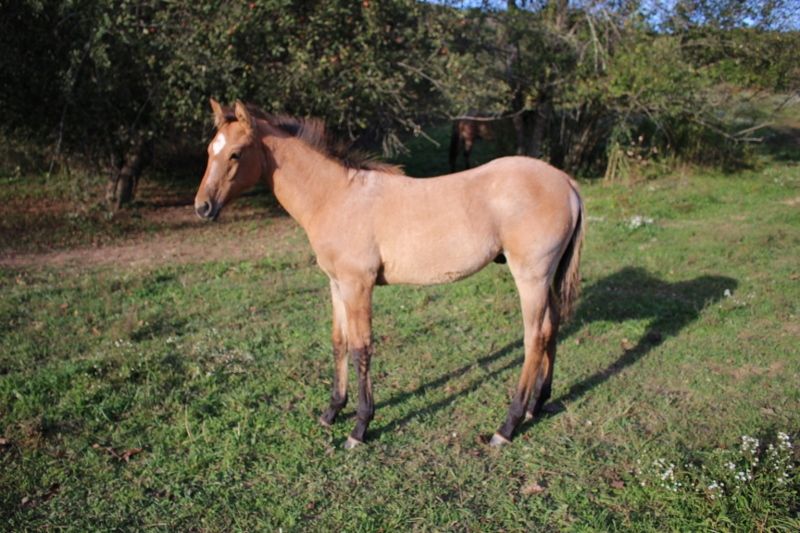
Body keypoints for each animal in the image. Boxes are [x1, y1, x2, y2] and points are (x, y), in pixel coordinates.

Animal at [195, 99, 585, 449]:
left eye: (236, 154)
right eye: (210, 151)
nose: (202, 207)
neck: (336, 196)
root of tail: (566, 181)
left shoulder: (358, 285)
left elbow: (361, 349)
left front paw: (359, 428)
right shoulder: (337, 284)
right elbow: (339, 343)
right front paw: (331, 412)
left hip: (531, 276)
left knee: (534, 338)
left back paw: (507, 426)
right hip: (546, 278)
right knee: (551, 328)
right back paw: (537, 405)